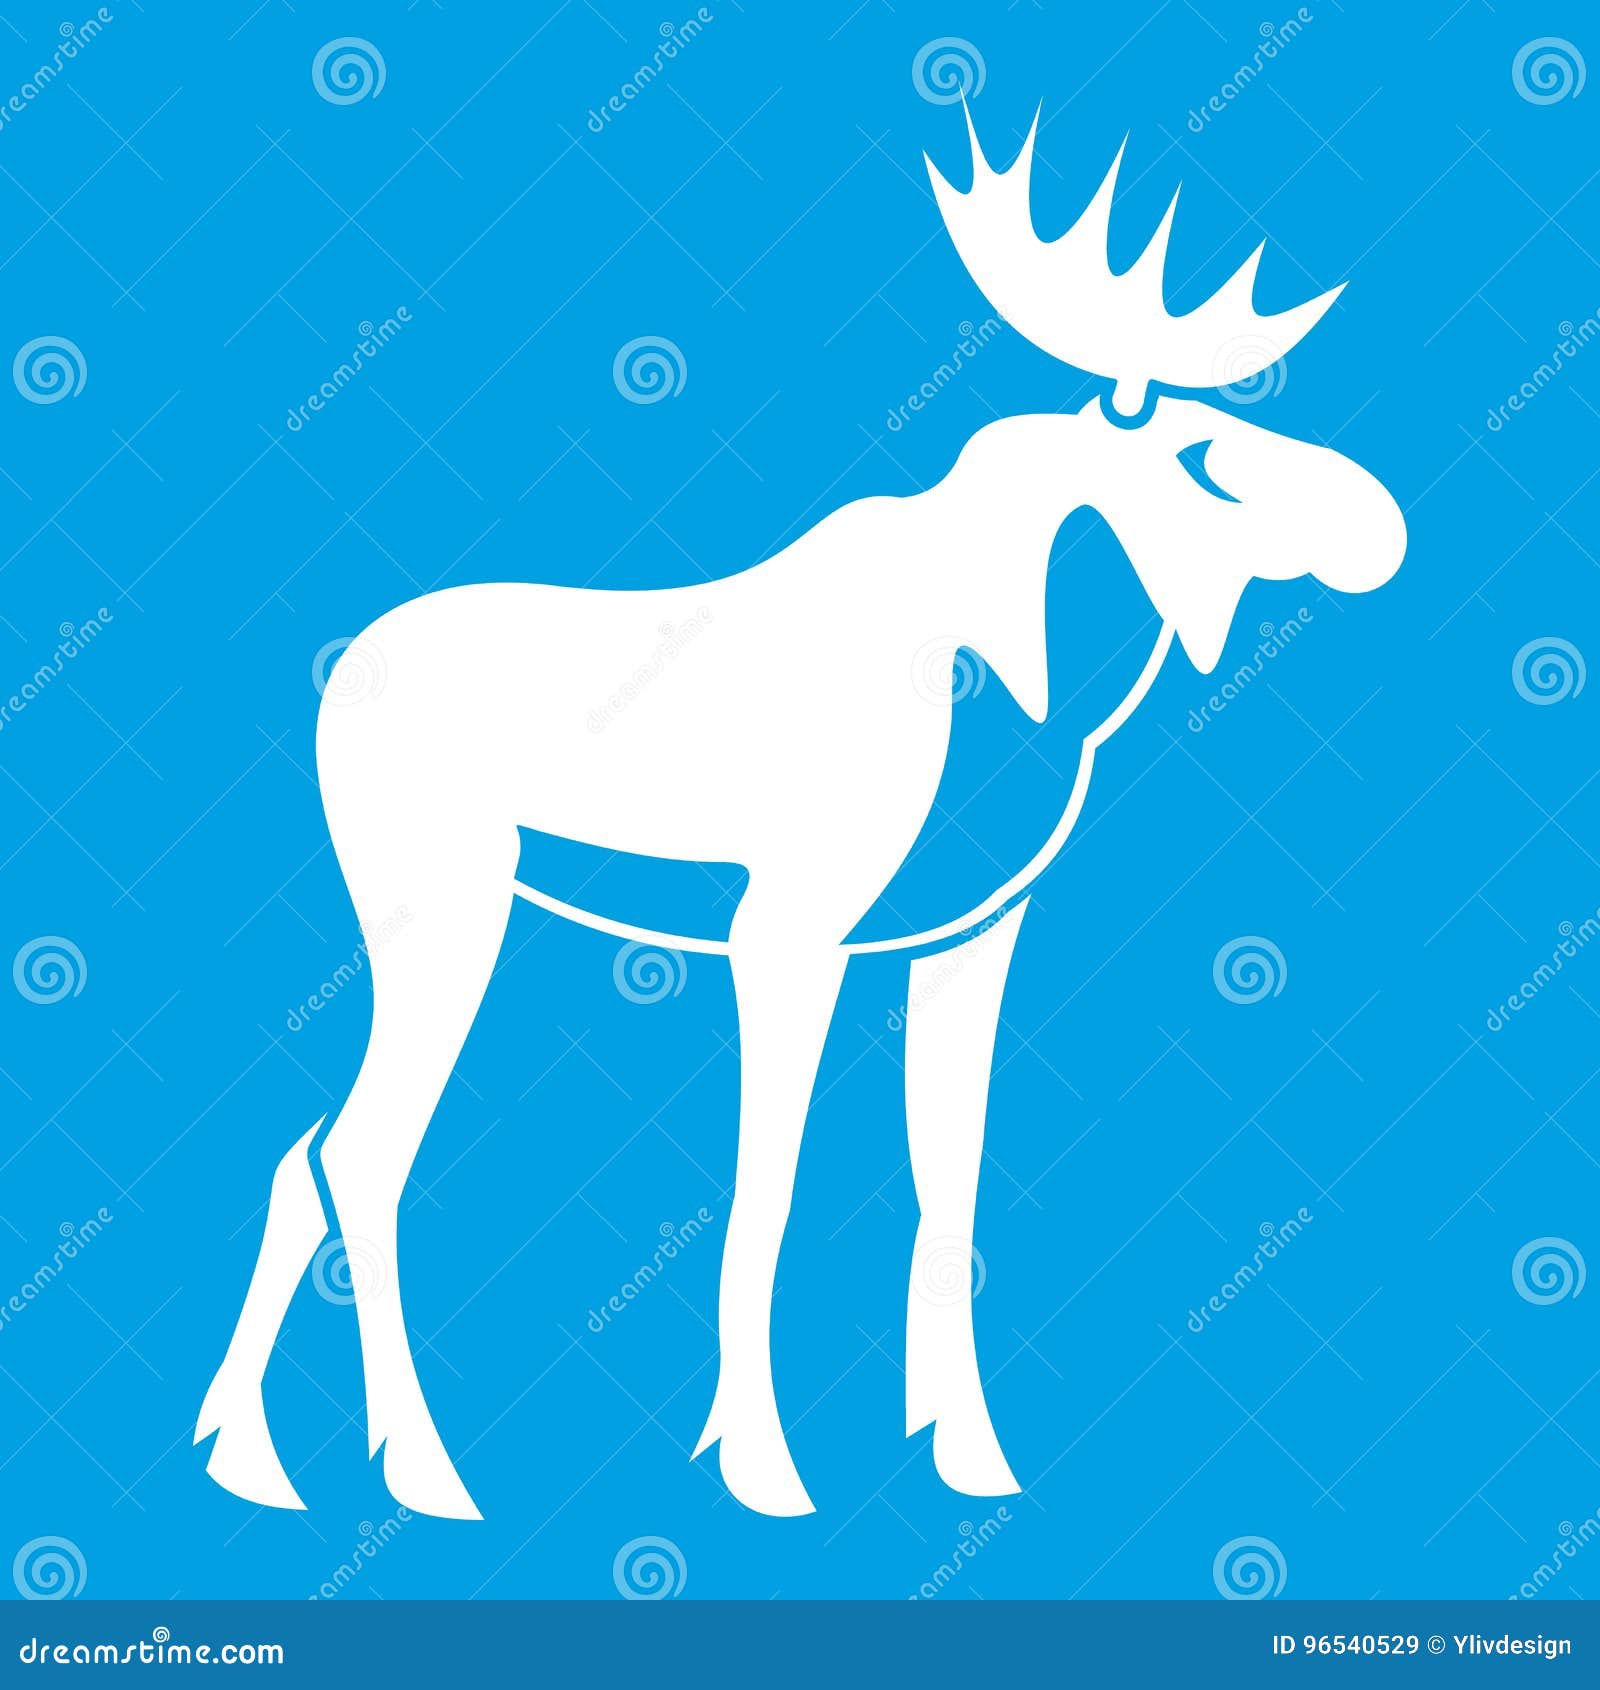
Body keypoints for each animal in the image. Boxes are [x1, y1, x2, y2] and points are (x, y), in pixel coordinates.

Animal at [196, 105, 1405, 1522]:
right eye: (1203, 453)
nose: (1382, 526)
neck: (1040, 687)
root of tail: (340, 680)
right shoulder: (786, 932)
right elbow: (761, 1197)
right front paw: (761, 1466)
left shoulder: (971, 934)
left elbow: (949, 1197)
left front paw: (970, 1456)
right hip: (447, 910)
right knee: (362, 1155)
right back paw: (426, 1472)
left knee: (302, 1152)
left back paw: (249, 1456)